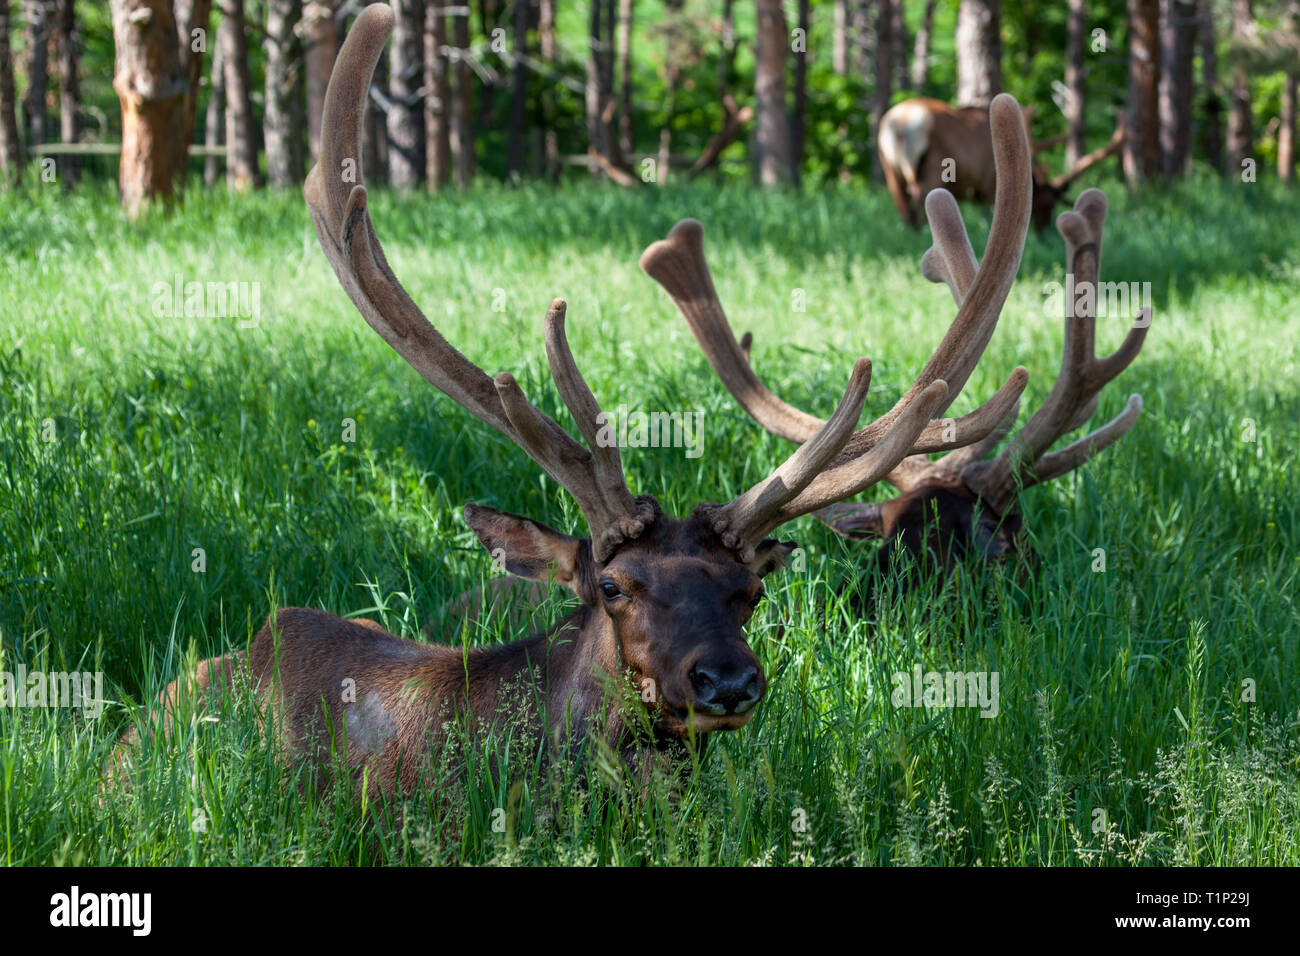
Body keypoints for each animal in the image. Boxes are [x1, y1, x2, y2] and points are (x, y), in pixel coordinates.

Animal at [878, 96, 1125, 231]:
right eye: (1046, 204)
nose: (1045, 233)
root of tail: (901, 125)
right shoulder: (989, 184)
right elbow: (990, 217)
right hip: (930, 172)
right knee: (916, 212)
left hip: (889, 170)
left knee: (904, 211)